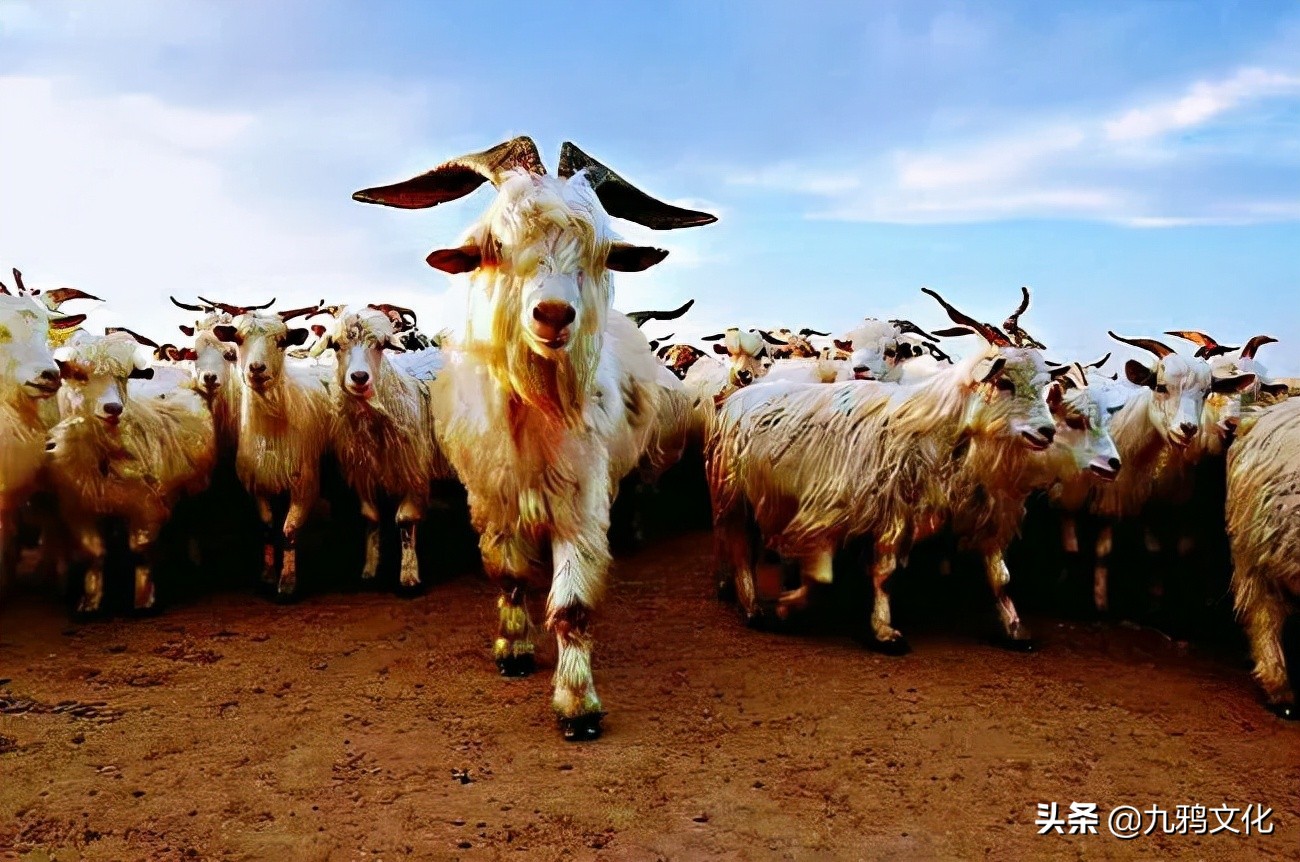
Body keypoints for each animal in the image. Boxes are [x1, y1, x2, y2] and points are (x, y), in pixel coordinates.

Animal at [46, 332, 216, 614]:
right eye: (80, 375)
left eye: (122, 377)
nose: (113, 408)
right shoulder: (79, 508)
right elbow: (95, 554)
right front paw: (90, 601)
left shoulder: (145, 506)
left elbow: (140, 551)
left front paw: (144, 598)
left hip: (196, 489)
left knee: (192, 525)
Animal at [211, 303, 332, 599]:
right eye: (239, 339)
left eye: (281, 341)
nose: (256, 368)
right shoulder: (258, 485)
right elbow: (267, 527)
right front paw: (267, 576)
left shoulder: (305, 484)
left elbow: (289, 531)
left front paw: (287, 582)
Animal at [309, 304, 454, 591]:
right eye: (337, 345)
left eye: (380, 346)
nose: (359, 377)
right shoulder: (363, 472)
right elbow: (371, 517)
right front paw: (369, 569)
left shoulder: (413, 470)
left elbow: (405, 521)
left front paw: (408, 575)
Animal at [353, 136, 715, 740]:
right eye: (498, 245)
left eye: (598, 251)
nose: (553, 314)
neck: (534, 407)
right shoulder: (490, 497)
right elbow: (509, 575)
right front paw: (514, 648)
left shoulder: (582, 497)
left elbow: (572, 606)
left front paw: (577, 703)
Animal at [707, 288, 1059, 652]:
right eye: (1004, 381)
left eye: (1044, 385)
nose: (1047, 431)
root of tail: (743, 392)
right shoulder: (866, 507)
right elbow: (843, 573)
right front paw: (798, 608)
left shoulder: (978, 510)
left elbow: (1000, 577)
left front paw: (1015, 629)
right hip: (731, 491)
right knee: (738, 545)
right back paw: (749, 604)